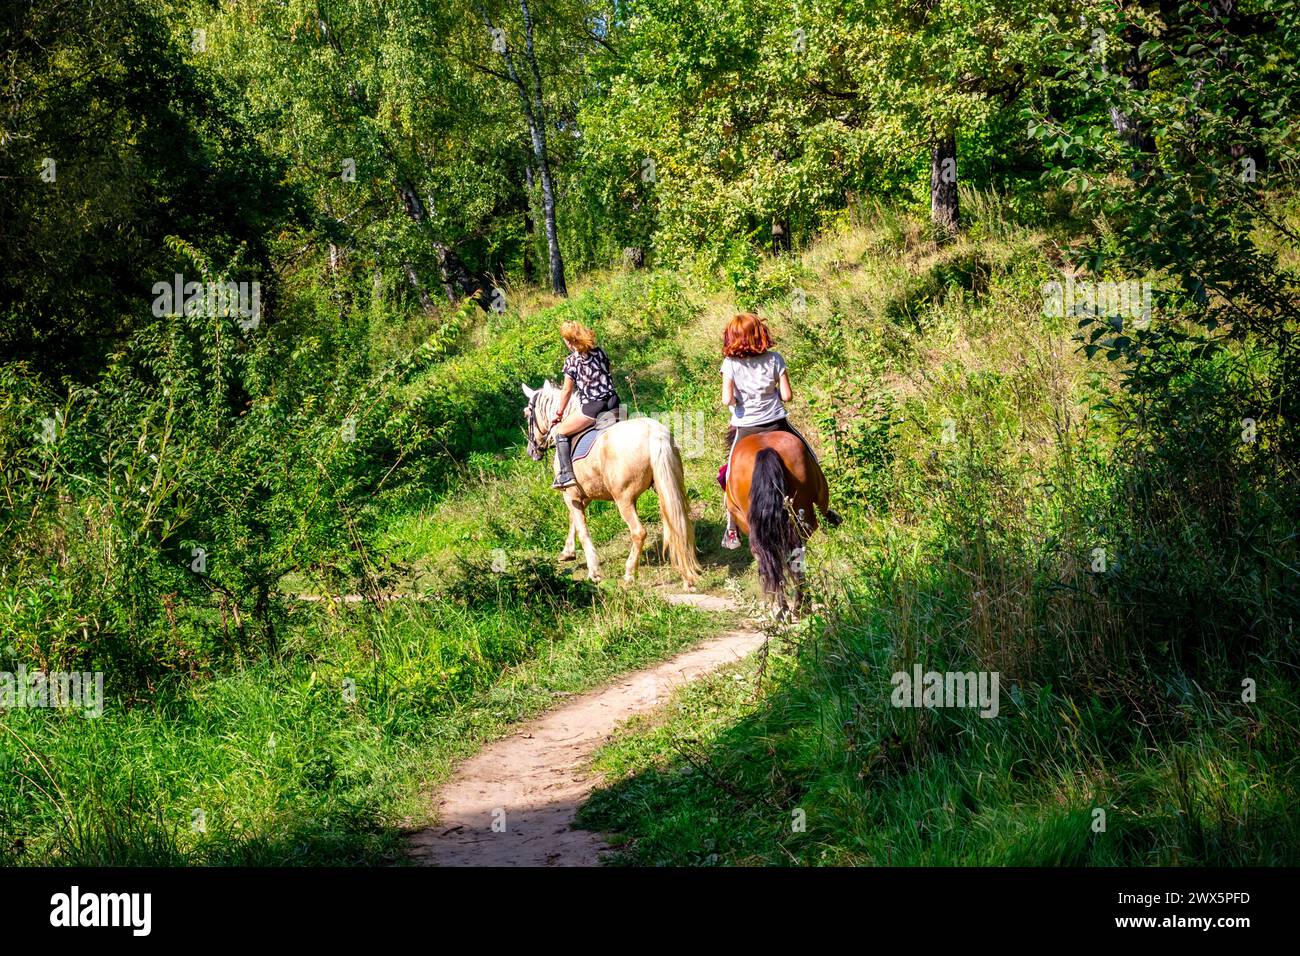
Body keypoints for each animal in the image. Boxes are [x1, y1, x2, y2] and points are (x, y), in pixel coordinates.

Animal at [521, 380, 699, 588]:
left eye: (527, 414)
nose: (531, 451)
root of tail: (654, 433)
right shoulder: (585, 494)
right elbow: (574, 521)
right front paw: (567, 553)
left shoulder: (570, 494)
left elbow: (582, 529)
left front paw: (593, 571)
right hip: (668, 488)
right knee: (678, 523)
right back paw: (687, 576)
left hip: (623, 499)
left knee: (638, 532)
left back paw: (629, 574)